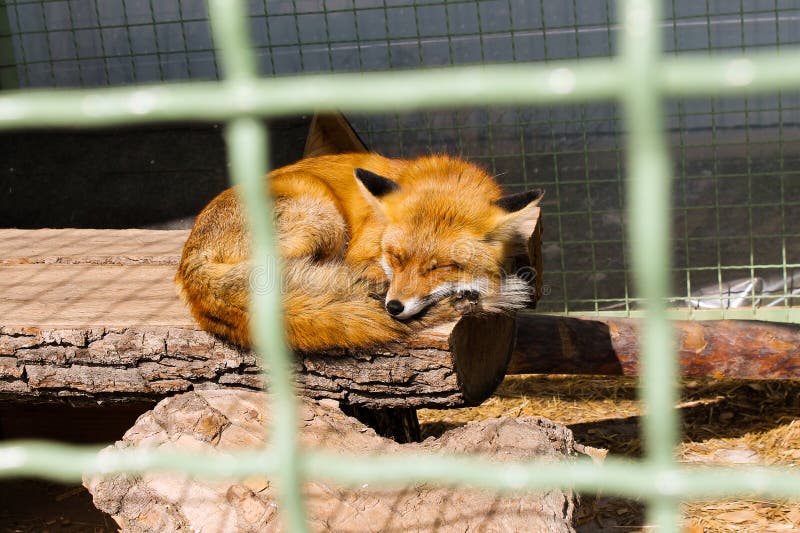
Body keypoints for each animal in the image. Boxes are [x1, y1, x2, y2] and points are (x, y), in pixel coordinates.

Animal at [176, 153, 543, 352]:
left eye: (439, 267)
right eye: (396, 257)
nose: (394, 307)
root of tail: (190, 264)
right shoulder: (361, 257)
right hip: (322, 213)